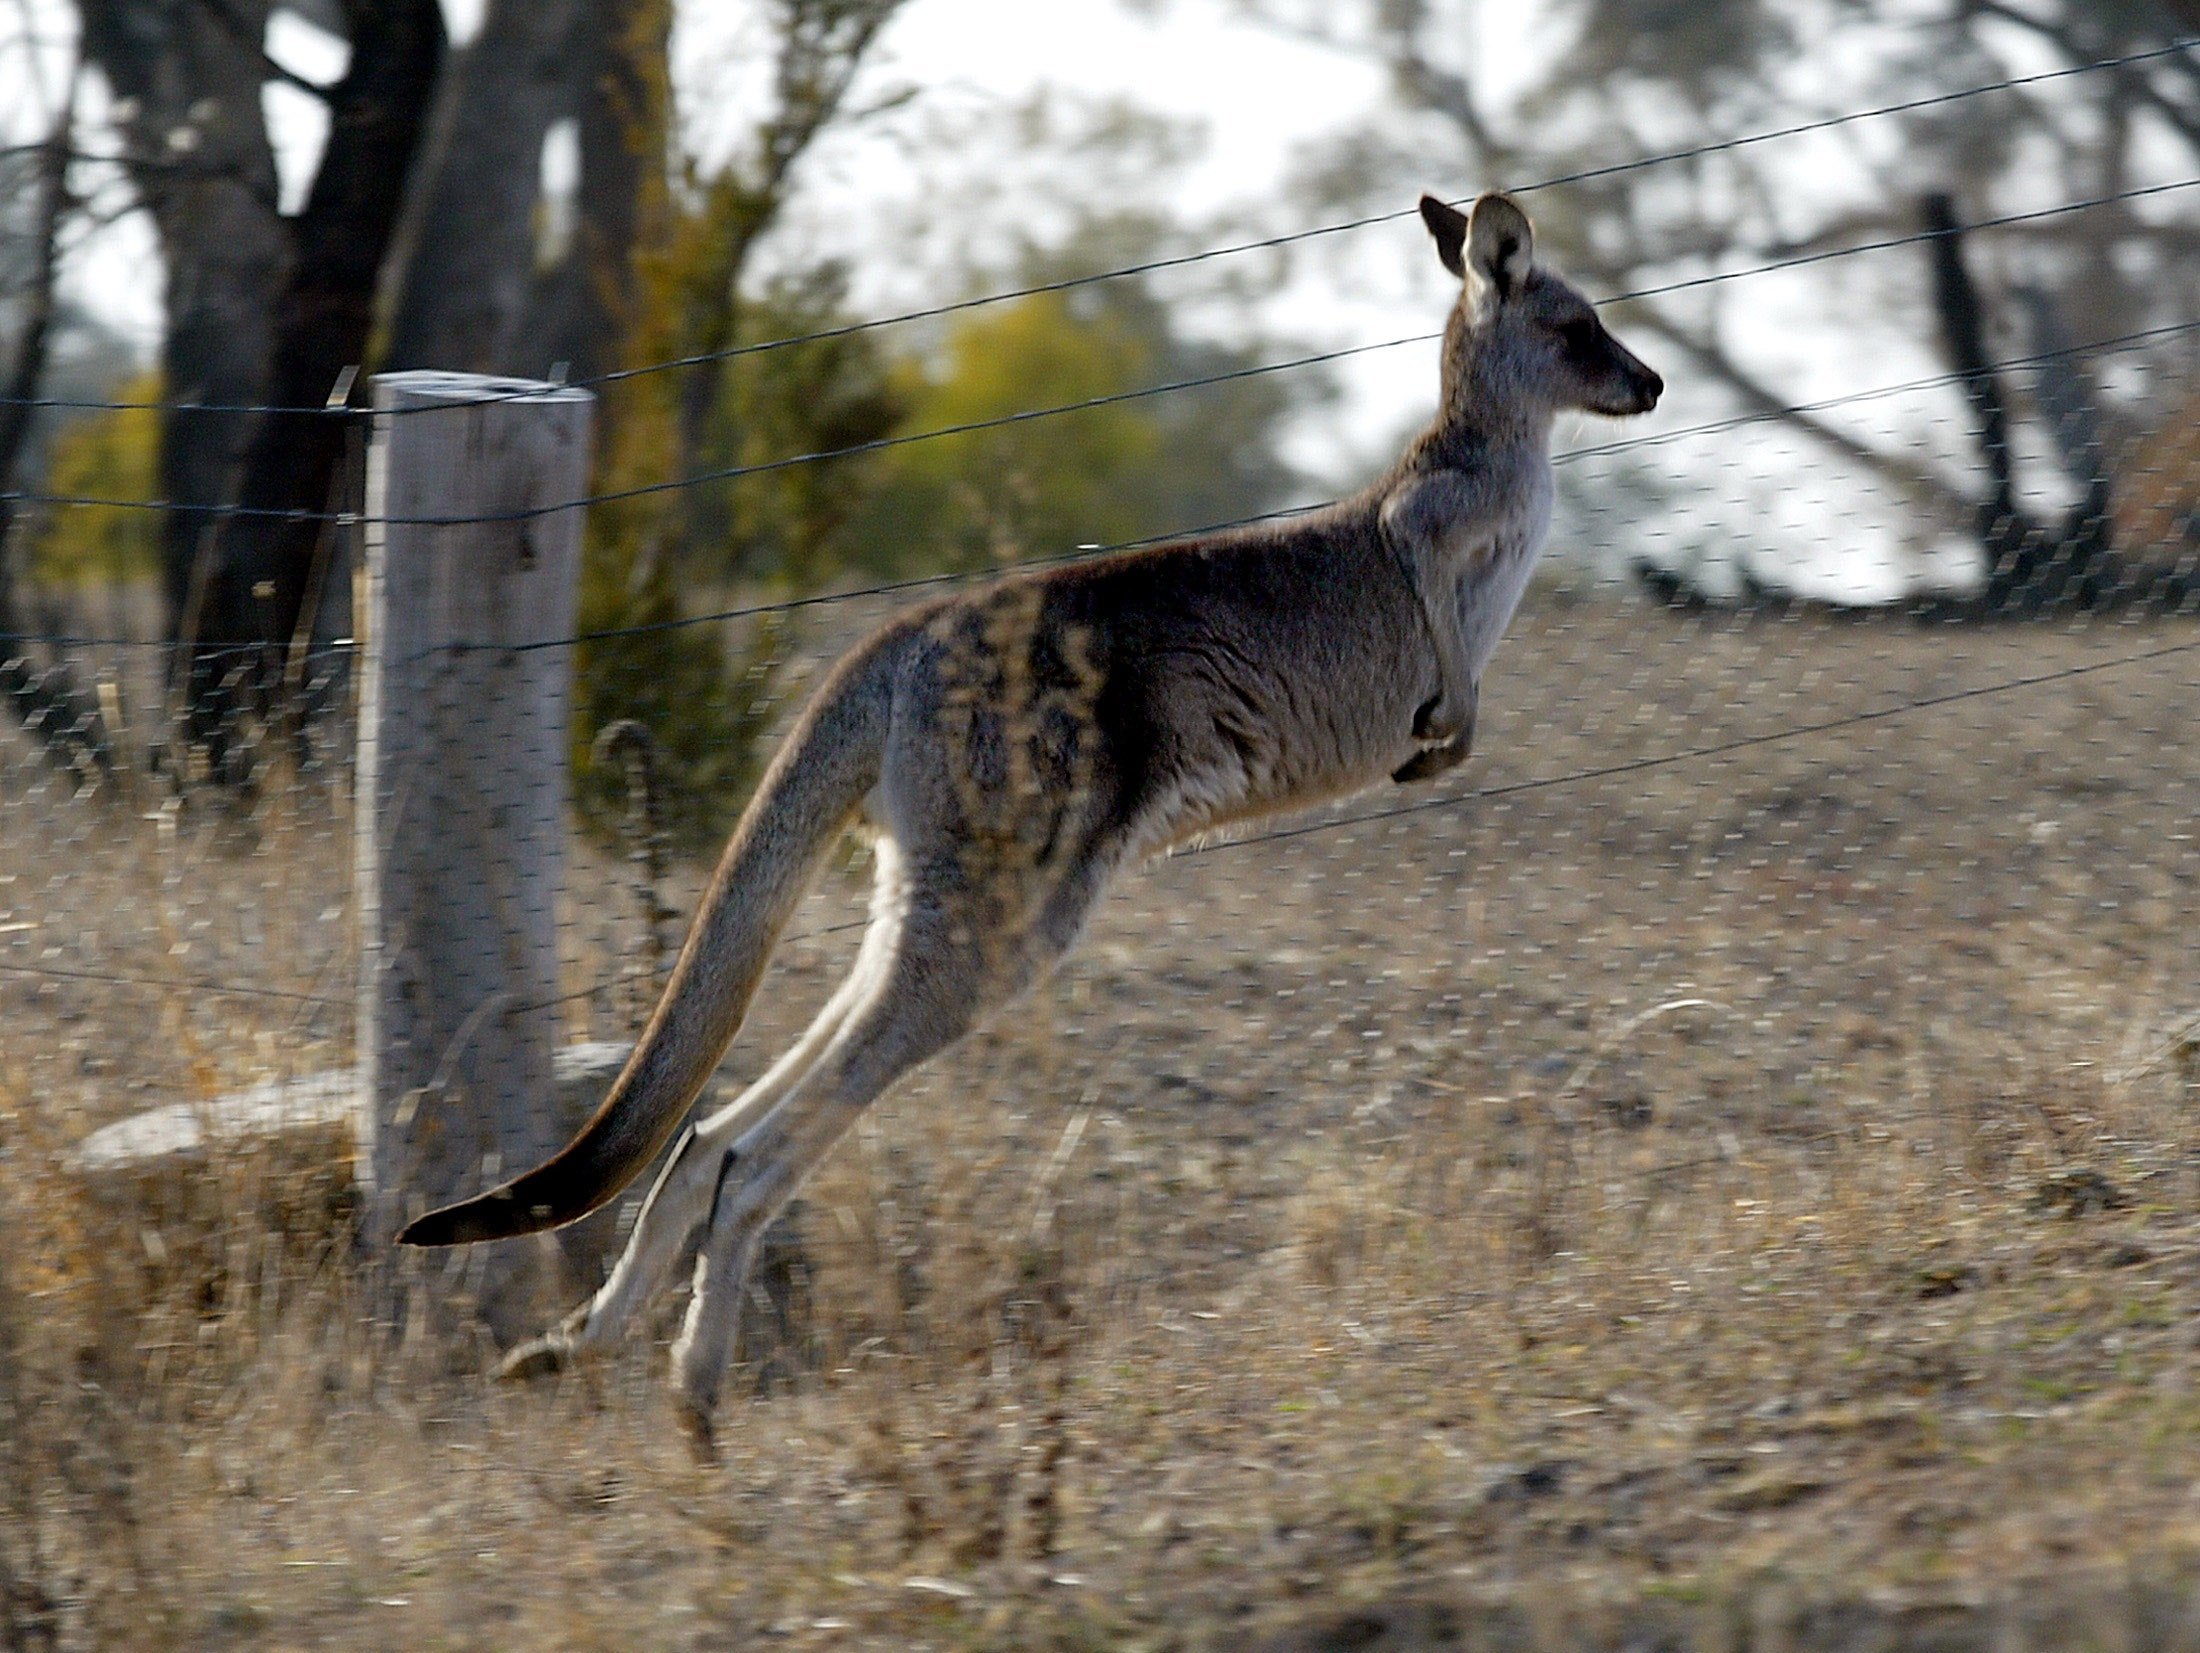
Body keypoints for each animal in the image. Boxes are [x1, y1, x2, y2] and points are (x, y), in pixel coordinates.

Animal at [399, 191, 1663, 1453]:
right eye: (1577, 327)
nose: (1650, 385)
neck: (1503, 451)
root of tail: (895, 647)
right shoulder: (1423, 529)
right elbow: (1433, 609)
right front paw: (1443, 733)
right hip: (1014, 880)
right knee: (751, 1160)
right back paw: (694, 1403)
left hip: (937, 879)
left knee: (704, 1144)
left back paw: (573, 1351)